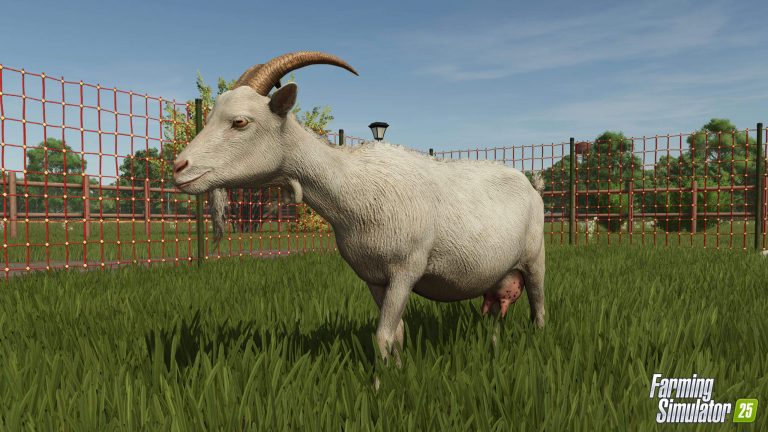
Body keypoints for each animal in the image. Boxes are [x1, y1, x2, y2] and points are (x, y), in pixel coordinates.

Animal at [173, 52, 546, 368]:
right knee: (498, 311)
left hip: (535, 258)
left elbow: (382, 336)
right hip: (500, 274)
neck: (355, 187)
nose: (179, 167)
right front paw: (397, 372)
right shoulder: (374, 277)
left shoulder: (405, 270)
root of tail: (532, 184)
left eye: (240, 122)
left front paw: (382, 389)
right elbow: (396, 334)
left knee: (538, 308)